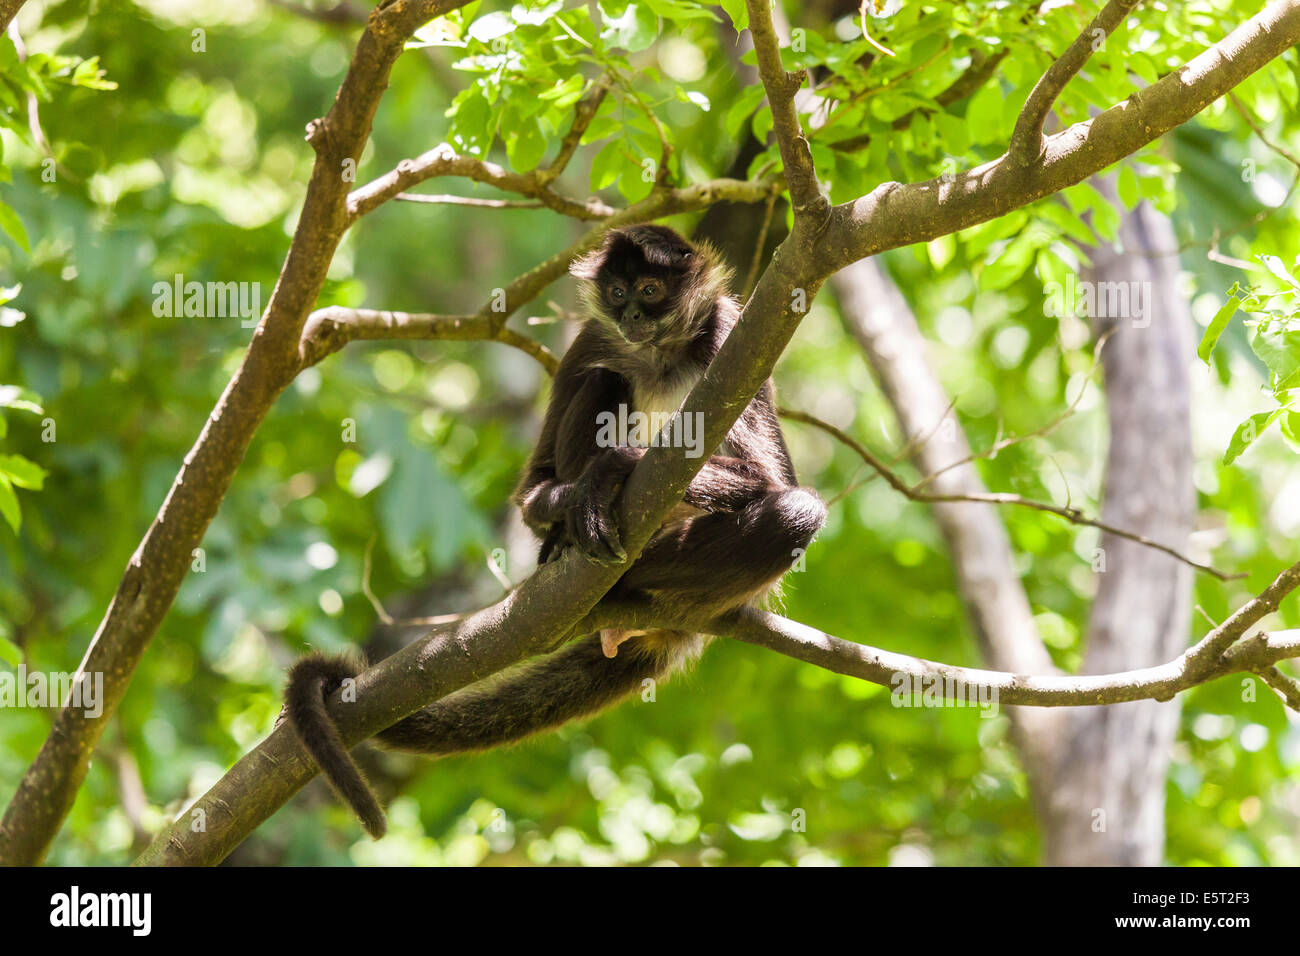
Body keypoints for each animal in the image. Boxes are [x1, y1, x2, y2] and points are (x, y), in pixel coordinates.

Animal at [284, 224, 826, 838]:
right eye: (617, 292)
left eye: (649, 288)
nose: (631, 314)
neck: (658, 355)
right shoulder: (591, 339)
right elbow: (533, 488)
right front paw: (582, 492)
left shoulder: (732, 336)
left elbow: (774, 481)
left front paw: (615, 467)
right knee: (604, 379)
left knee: (796, 512)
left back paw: (627, 570)